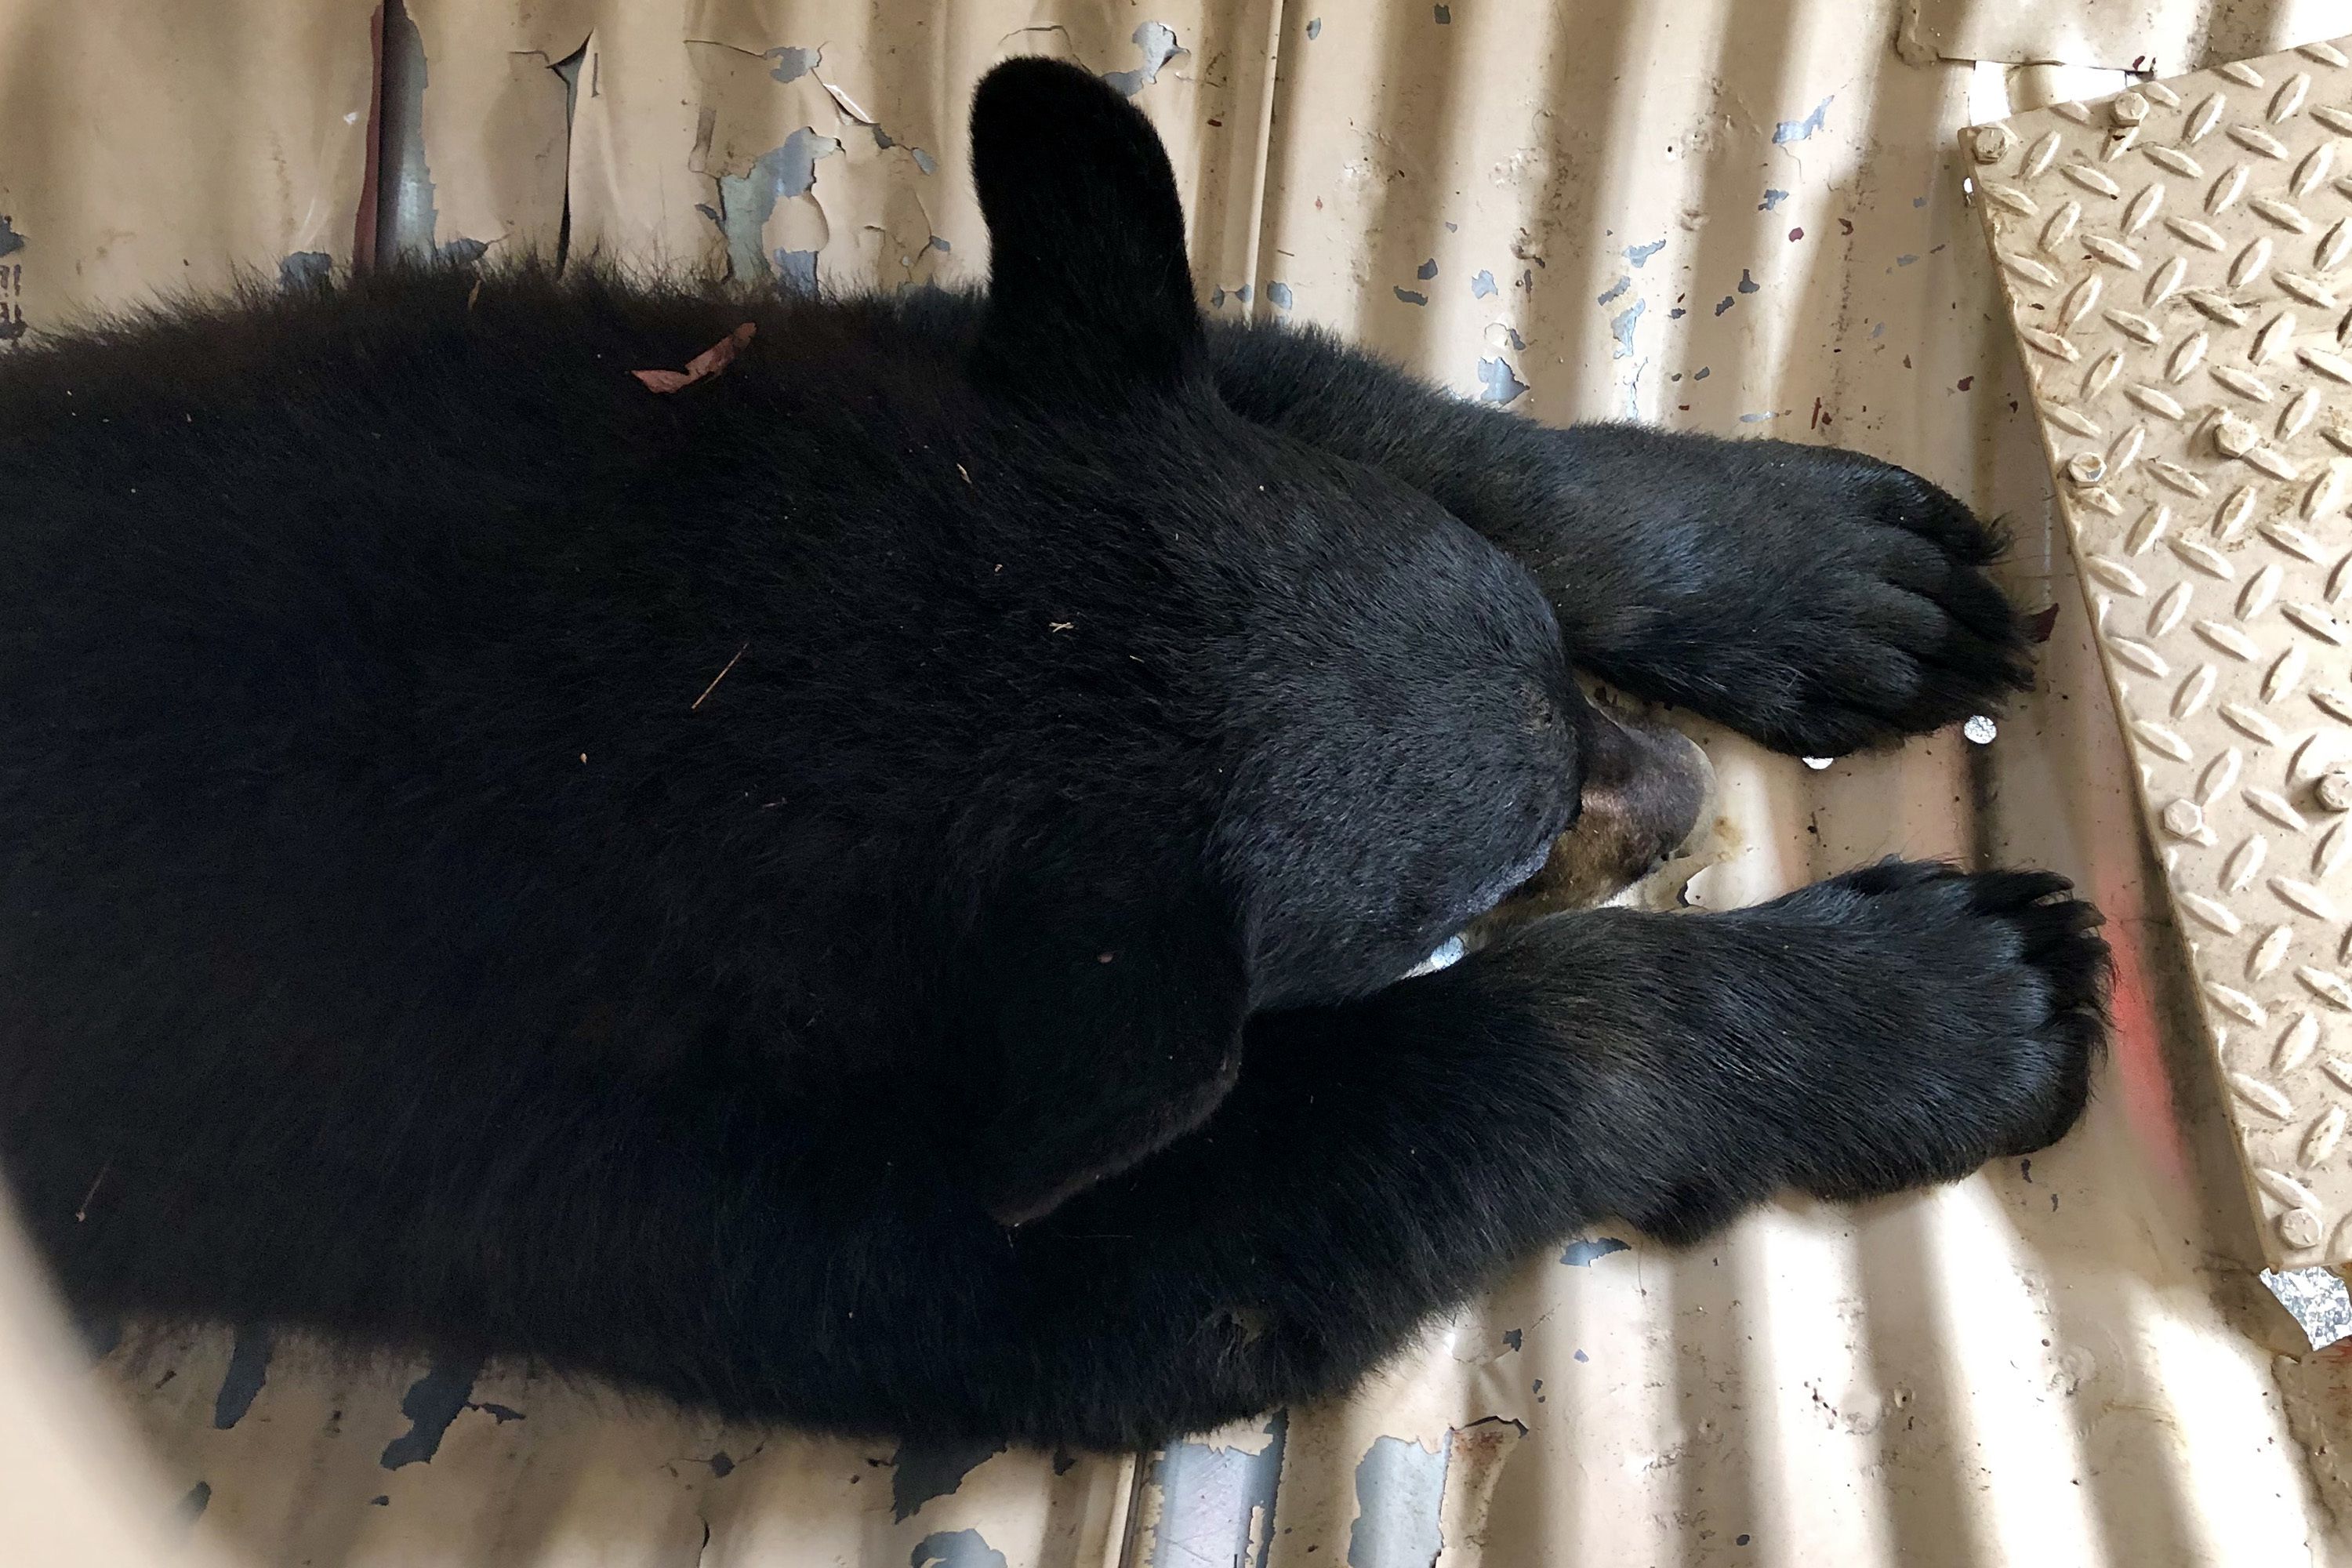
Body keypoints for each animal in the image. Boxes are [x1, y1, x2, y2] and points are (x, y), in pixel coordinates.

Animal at [0, 57, 2106, 1450]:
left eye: (1543, 660)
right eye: (1488, 875)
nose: (1675, 801)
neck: (652, 654)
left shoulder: (630, 368)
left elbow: (1329, 398)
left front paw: (1835, 578)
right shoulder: (604, 1118)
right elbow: (1139, 1272)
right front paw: (1945, 992)